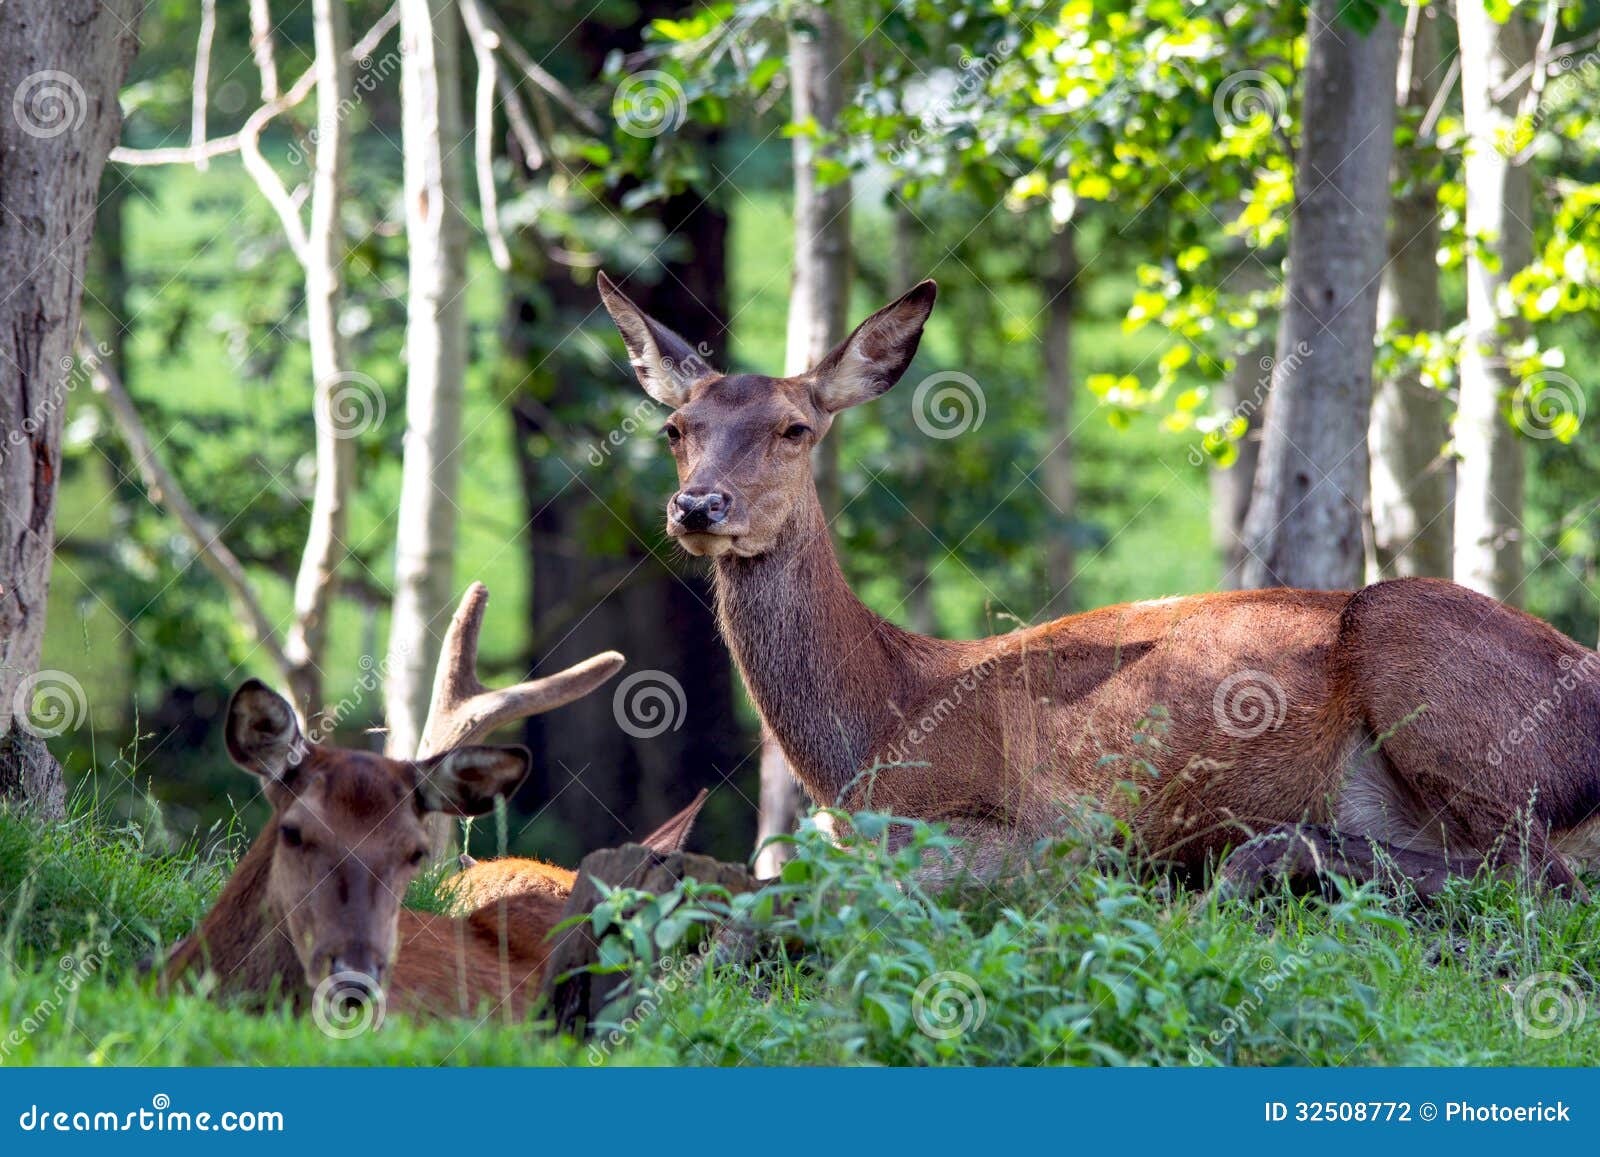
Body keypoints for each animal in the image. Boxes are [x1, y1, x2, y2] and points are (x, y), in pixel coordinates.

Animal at [598, 270, 1600, 898]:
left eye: (795, 427)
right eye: (676, 428)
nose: (699, 505)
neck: (871, 742)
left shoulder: (1053, 820)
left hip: (1426, 659)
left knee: (1536, 876)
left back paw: (1261, 861)